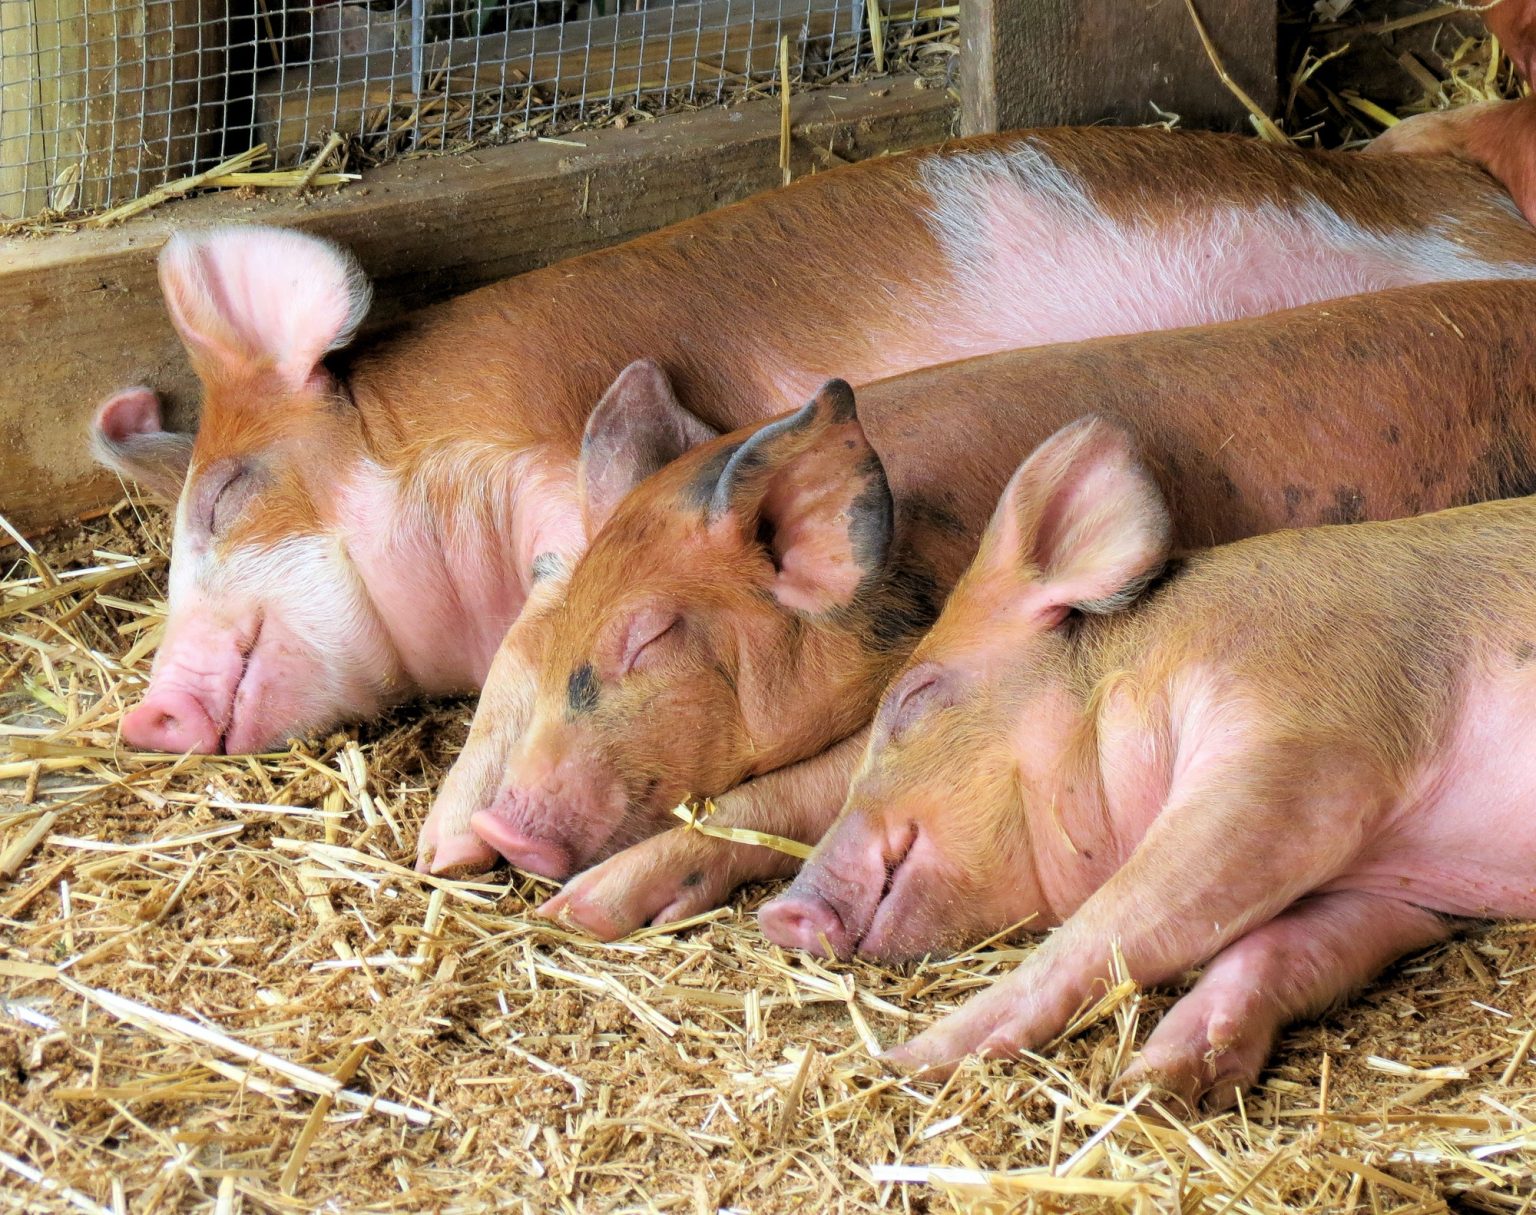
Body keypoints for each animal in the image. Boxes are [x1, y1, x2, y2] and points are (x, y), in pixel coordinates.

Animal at [759, 411, 1536, 1111]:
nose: (776, 913)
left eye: (913, 697)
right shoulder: (1406, 892)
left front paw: (906, 1058)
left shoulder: (1305, 742)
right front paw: (1158, 1085)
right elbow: (1283, 948)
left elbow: (1109, 922)